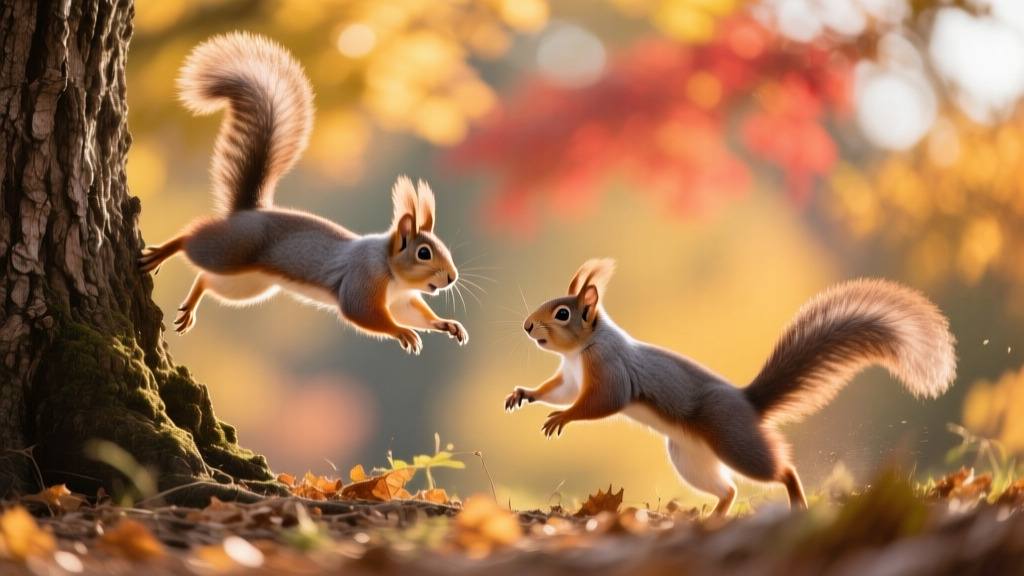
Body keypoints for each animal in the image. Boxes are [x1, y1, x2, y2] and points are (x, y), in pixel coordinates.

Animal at [138, 32, 467, 354]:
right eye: (423, 253)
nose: (452, 277)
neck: (392, 272)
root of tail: (249, 210)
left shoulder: (400, 300)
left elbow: (414, 313)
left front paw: (447, 324)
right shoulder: (363, 279)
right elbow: (360, 312)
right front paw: (402, 332)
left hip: (248, 284)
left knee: (207, 278)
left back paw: (190, 307)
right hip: (232, 249)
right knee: (193, 242)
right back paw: (165, 251)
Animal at [504, 259, 956, 515]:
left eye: (563, 313)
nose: (526, 326)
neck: (581, 351)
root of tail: (749, 402)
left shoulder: (610, 369)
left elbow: (601, 401)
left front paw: (563, 418)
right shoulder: (571, 375)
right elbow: (556, 390)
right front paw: (524, 394)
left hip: (734, 440)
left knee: (780, 469)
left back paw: (796, 500)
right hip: (689, 458)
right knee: (729, 489)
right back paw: (714, 516)